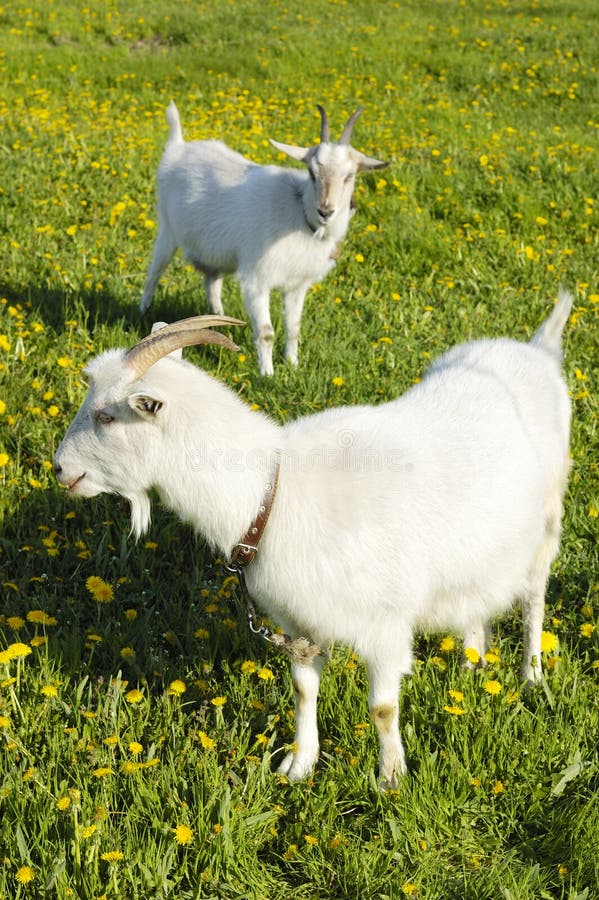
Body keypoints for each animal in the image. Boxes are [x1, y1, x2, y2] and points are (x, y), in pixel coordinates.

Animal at [54, 293, 572, 787]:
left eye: (107, 416)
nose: (59, 468)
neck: (274, 491)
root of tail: (538, 349)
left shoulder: (385, 625)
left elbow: (382, 709)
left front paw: (391, 779)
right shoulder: (298, 621)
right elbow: (303, 690)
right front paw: (299, 767)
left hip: (547, 523)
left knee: (534, 599)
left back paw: (531, 675)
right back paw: (469, 664)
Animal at [139, 102, 388, 375]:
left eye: (349, 176)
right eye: (312, 172)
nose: (325, 211)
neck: (298, 212)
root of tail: (178, 146)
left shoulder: (297, 284)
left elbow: (294, 328)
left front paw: (292, 365)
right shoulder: (257, 280)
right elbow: (267, 332)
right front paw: (267, 374)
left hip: (216, 252)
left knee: (212, 281)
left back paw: (218, 318)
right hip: (167, 230)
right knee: (154, 272)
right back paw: (144, 310)